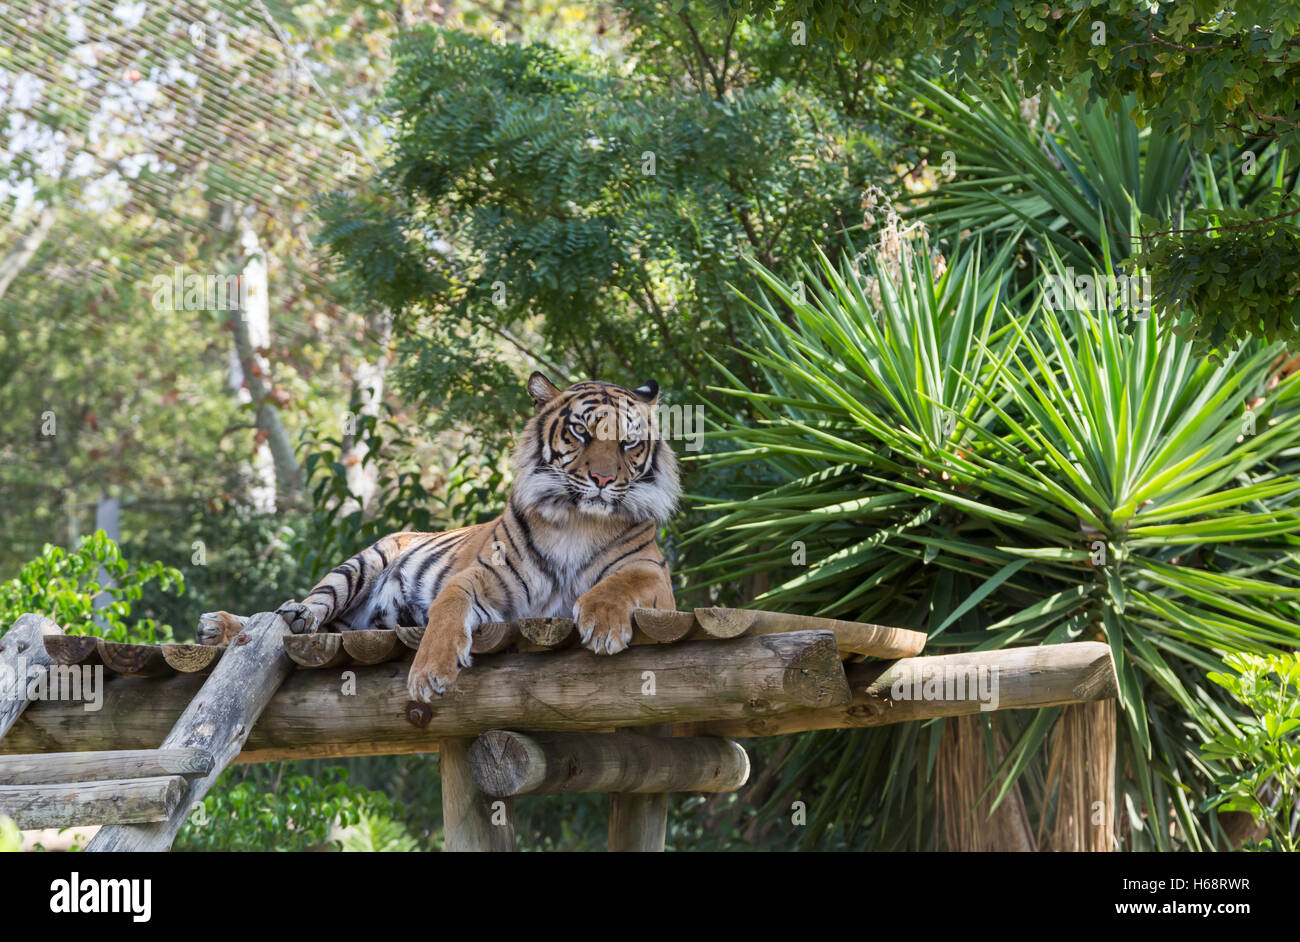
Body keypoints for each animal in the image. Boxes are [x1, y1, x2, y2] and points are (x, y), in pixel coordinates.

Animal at [198, 372, 680, 703]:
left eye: (628, 442)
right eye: (581, 431)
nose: (603, 479)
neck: (579, 519)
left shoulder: (656, 580)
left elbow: (621, 582)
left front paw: (602, 621)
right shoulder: (481, 578)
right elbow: (448, 609)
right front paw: (428, 674)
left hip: (358, 620)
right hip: (361, 563)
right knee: (297, 610)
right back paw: (241, 622)